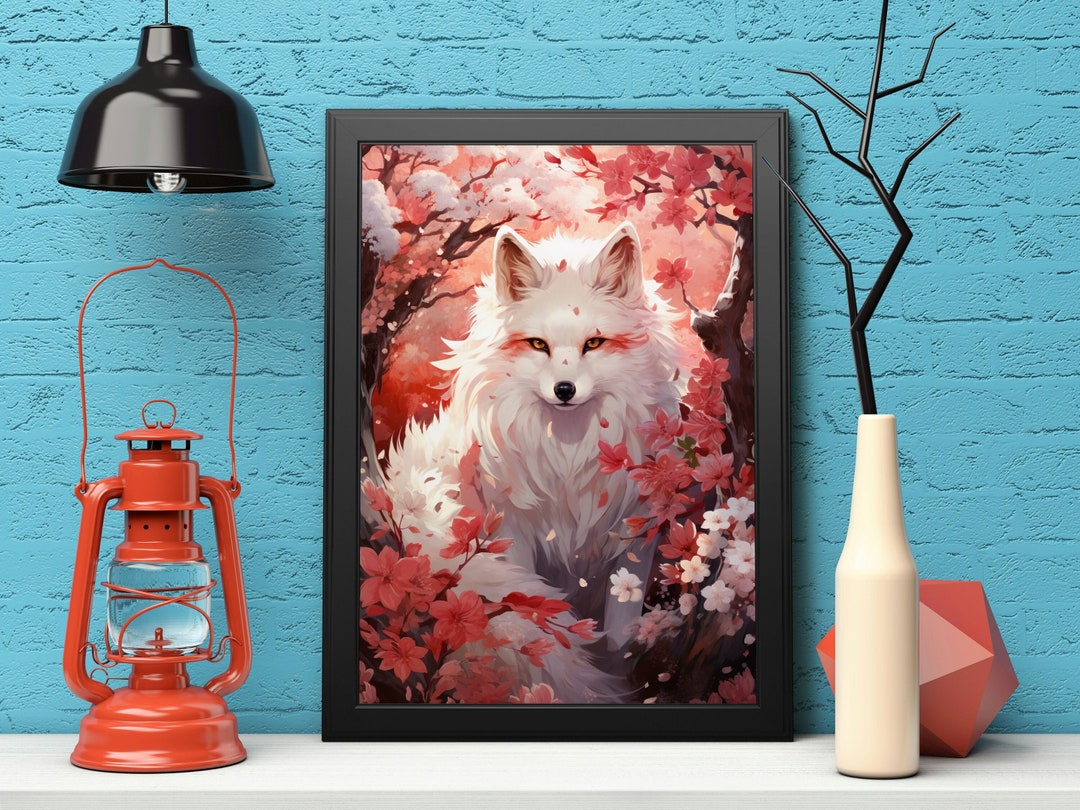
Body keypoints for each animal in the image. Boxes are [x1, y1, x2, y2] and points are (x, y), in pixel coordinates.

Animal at [381, 221, 683, 700]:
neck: (569, 452)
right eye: (538, 344)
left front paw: (623, 659)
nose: (564, 390)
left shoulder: (635, 532)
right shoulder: (510, 531)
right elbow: (525, 606)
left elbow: (622, 621)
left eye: (594, 343)